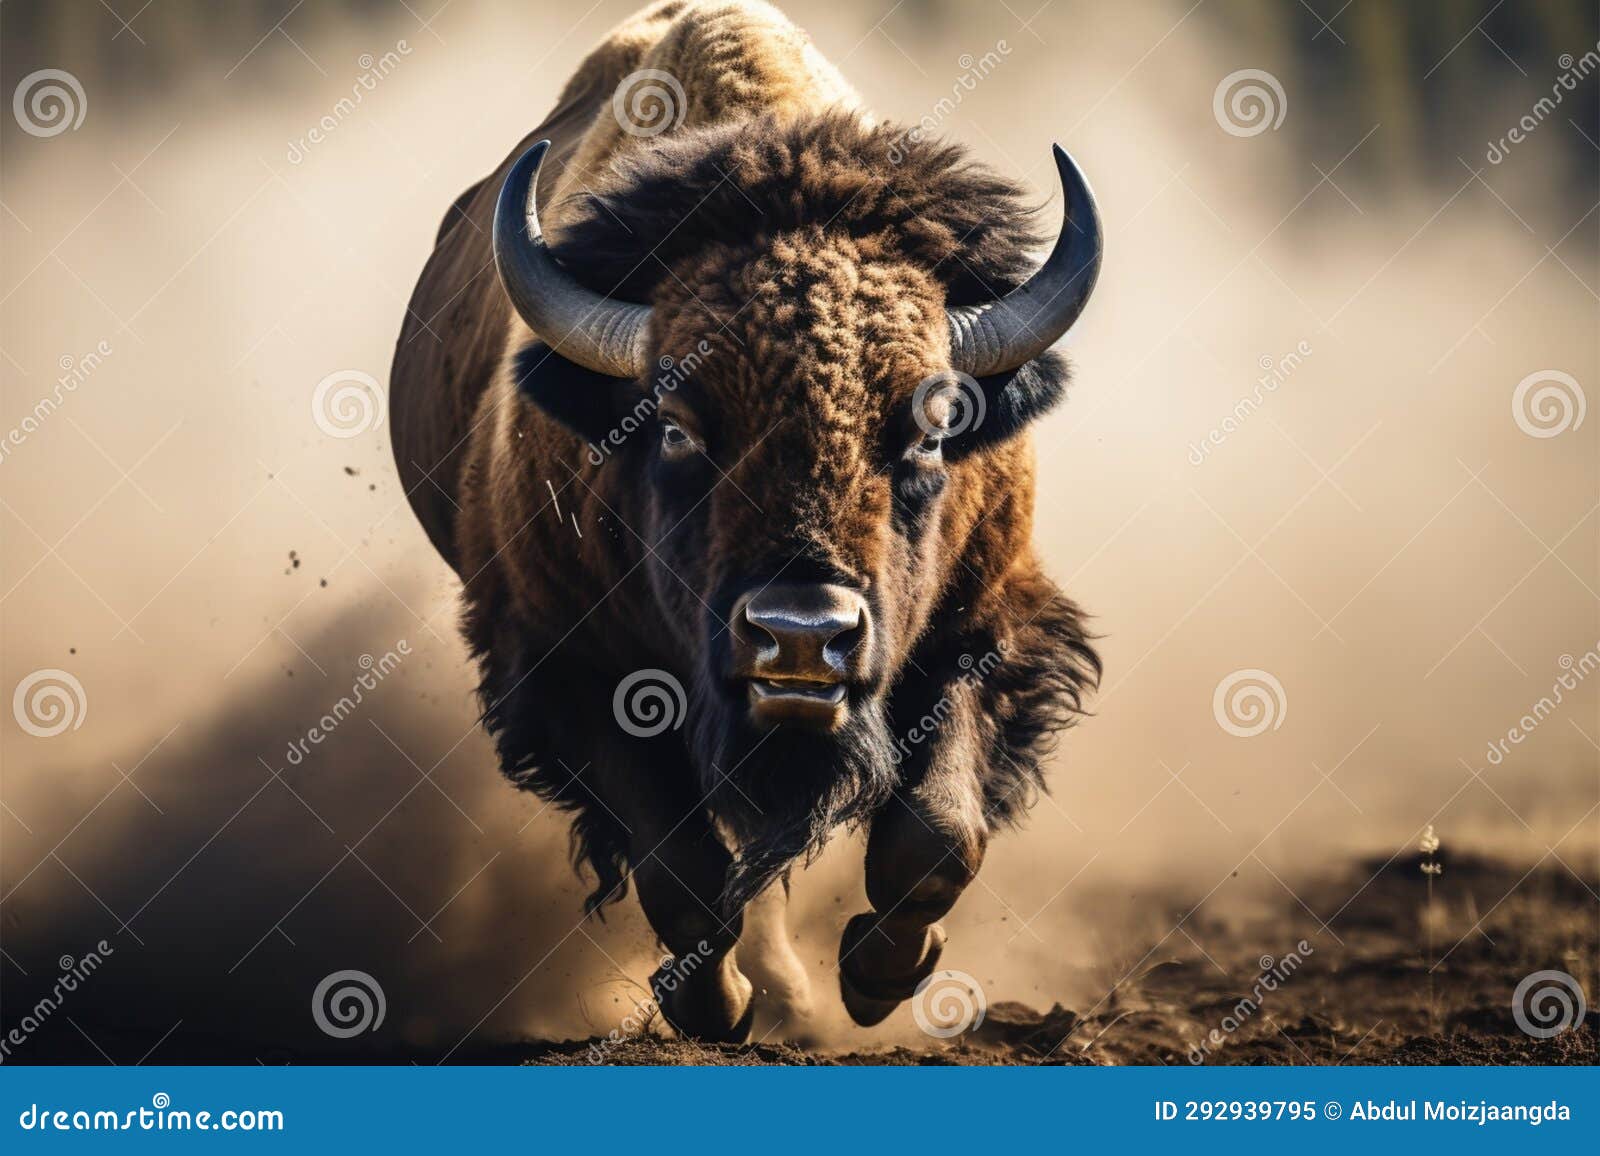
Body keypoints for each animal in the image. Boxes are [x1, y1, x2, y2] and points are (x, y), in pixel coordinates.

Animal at [390, 0, 1102, 1042]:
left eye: (934, 429)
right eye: (675, 428)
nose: (802, 638)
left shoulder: (983, 626)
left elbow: (937, 832)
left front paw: (880, 976)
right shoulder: (577, 667)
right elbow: (679, 865)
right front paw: (714, 1006)